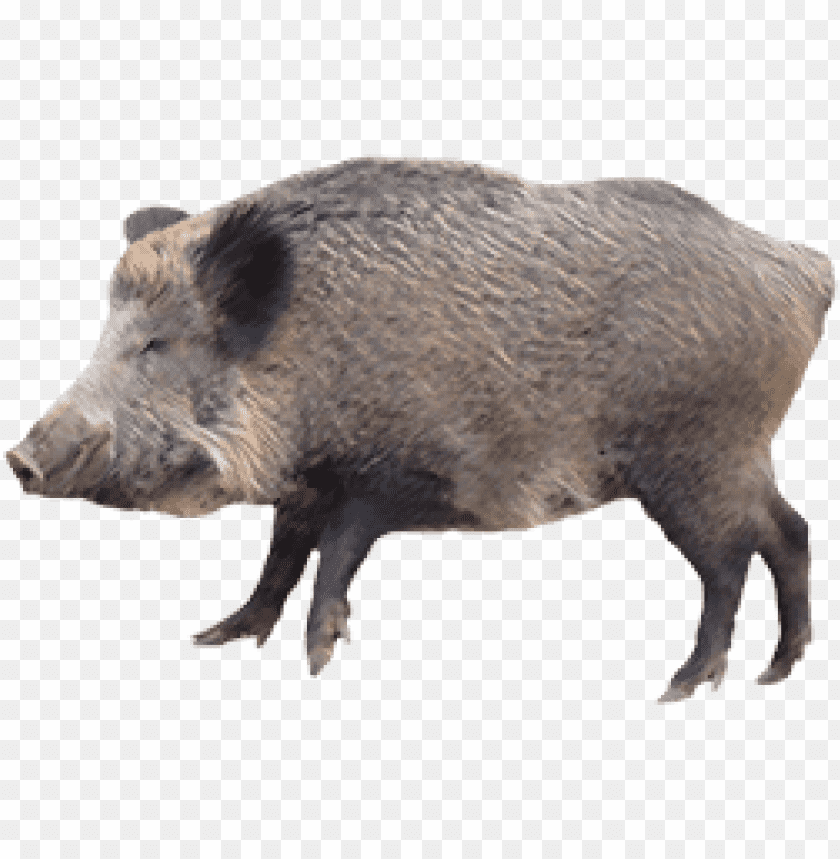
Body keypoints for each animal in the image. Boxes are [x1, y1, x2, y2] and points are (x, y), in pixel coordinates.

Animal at [6, 157, 835, 702]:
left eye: (157, 343)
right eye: (109, 333)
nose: (20, 455)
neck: (306, 358)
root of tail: (805, 269)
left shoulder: (405, 474)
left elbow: (336, 551)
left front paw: (317, 659)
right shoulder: (305, 487)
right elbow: (280, 557)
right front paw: (220, 636)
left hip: (691, 460)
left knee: (730, 560)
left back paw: (682, 686)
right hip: (736, 458)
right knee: (789, 530)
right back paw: (776, 671)